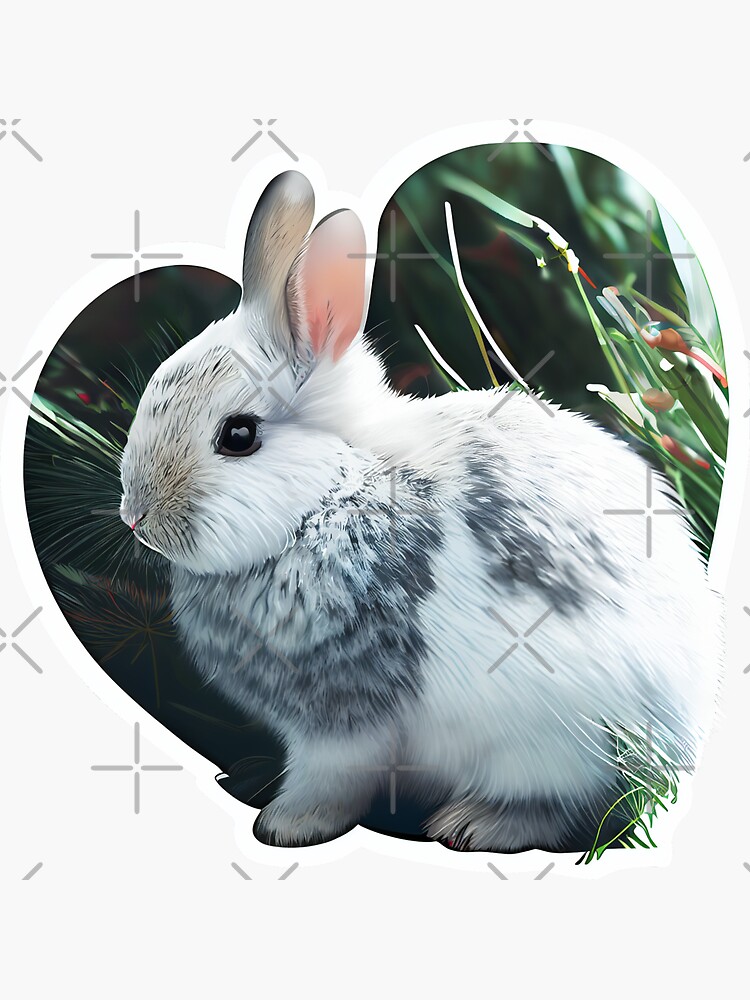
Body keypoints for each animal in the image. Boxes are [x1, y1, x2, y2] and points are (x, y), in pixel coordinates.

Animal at [119, 170, 722, 852]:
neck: (331, 495)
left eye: (239, 435)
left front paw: (286, 825)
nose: (136, 517)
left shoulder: (344, 718)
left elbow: (331, 780)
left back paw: (475, 823)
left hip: (549, 740)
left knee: (563, 804)